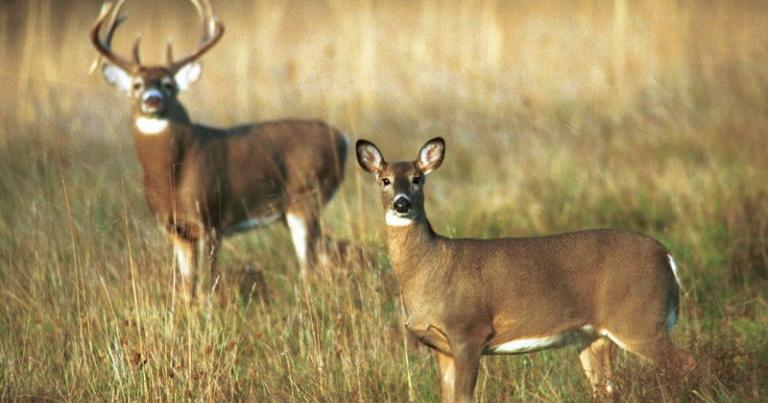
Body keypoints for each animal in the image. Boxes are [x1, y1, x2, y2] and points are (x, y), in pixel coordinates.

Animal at [90, 0, 348, 297]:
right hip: (293, 209)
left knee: (312, 266)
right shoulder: (175, 228)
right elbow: (186, 287)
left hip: (304, 197)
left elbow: (205, 284)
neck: (171, 177)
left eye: (169, 84)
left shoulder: (211, 218)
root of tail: (342, 139)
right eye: (137, 85)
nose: (152, 100)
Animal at [356, 137, 696, 402]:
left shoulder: (469, 331)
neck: (432, 265)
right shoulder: (441, 347)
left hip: (638, 320)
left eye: (417, 178)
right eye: (385, 180)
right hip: (596, 336)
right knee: (607, 388)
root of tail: (666, 256)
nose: (402, 204)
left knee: (687, 362)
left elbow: (464, 397)